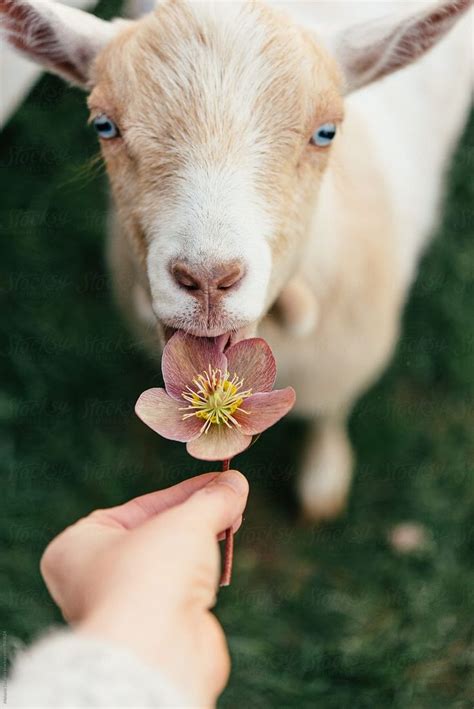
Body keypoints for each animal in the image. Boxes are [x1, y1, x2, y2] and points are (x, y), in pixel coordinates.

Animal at [2, 0, 472, 519]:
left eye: (326, 132)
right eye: (104, 126)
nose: (208, 277)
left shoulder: (346, 359)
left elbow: (331, 411)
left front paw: (324, 476)